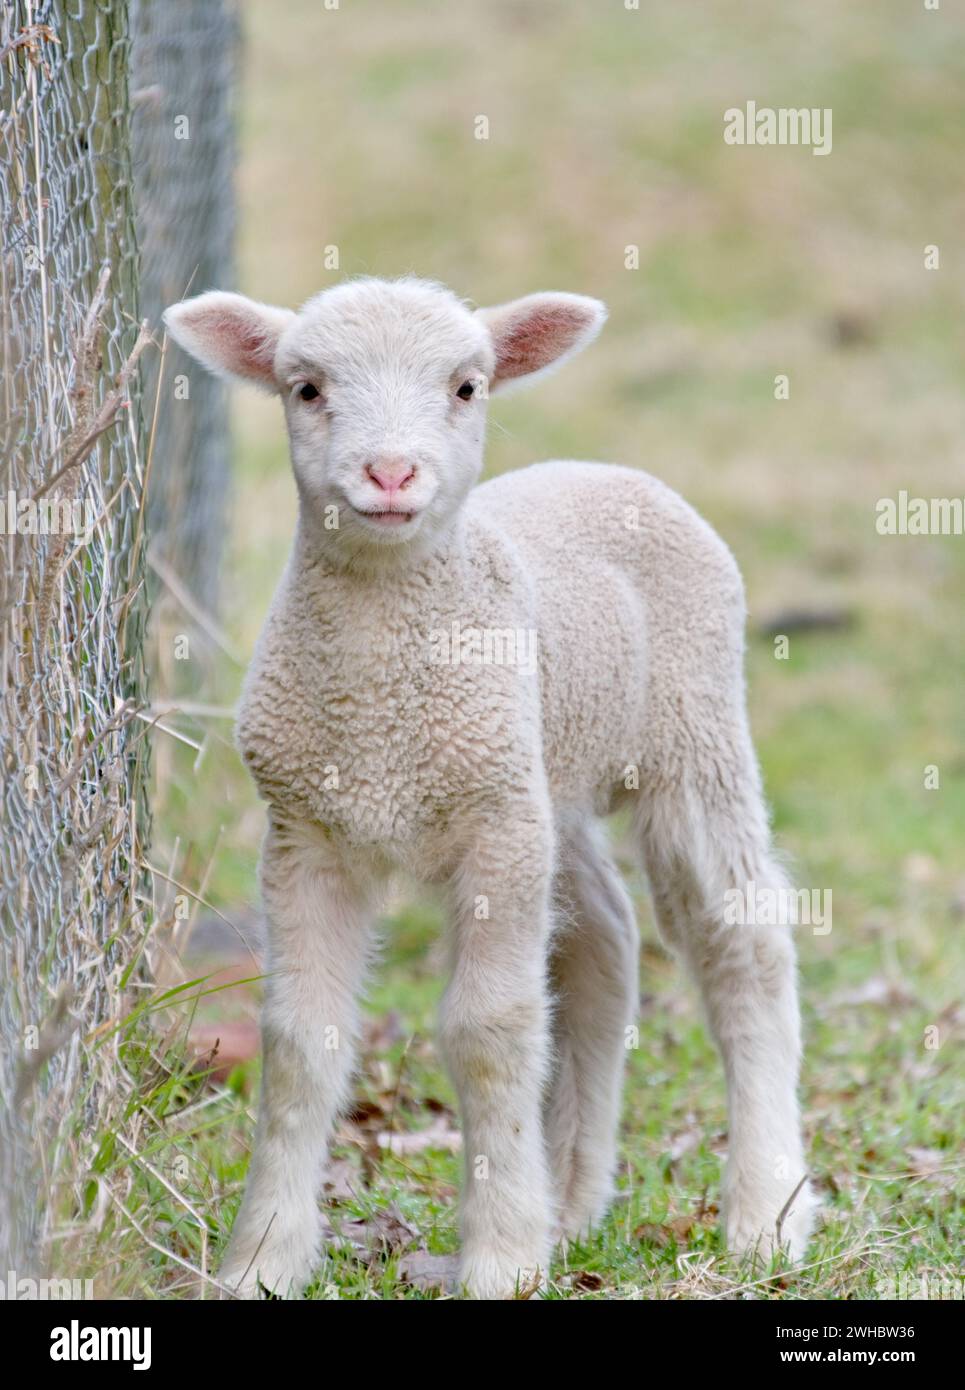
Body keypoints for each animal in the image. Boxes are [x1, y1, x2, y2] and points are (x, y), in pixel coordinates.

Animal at [164, 275, 815, 1300]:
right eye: (305, 388)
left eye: (466, 387)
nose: (391, 474)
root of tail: (602, 470)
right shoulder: (307, 831)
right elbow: (300, 1042)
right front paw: (261, 1260)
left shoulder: (494, 827)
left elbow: (488, 1030)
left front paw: (500, 1257)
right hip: (551, 774)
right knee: (602, 942)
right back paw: (572, 1203)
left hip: (690, 733)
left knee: (741, 945)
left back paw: (764, 1214)